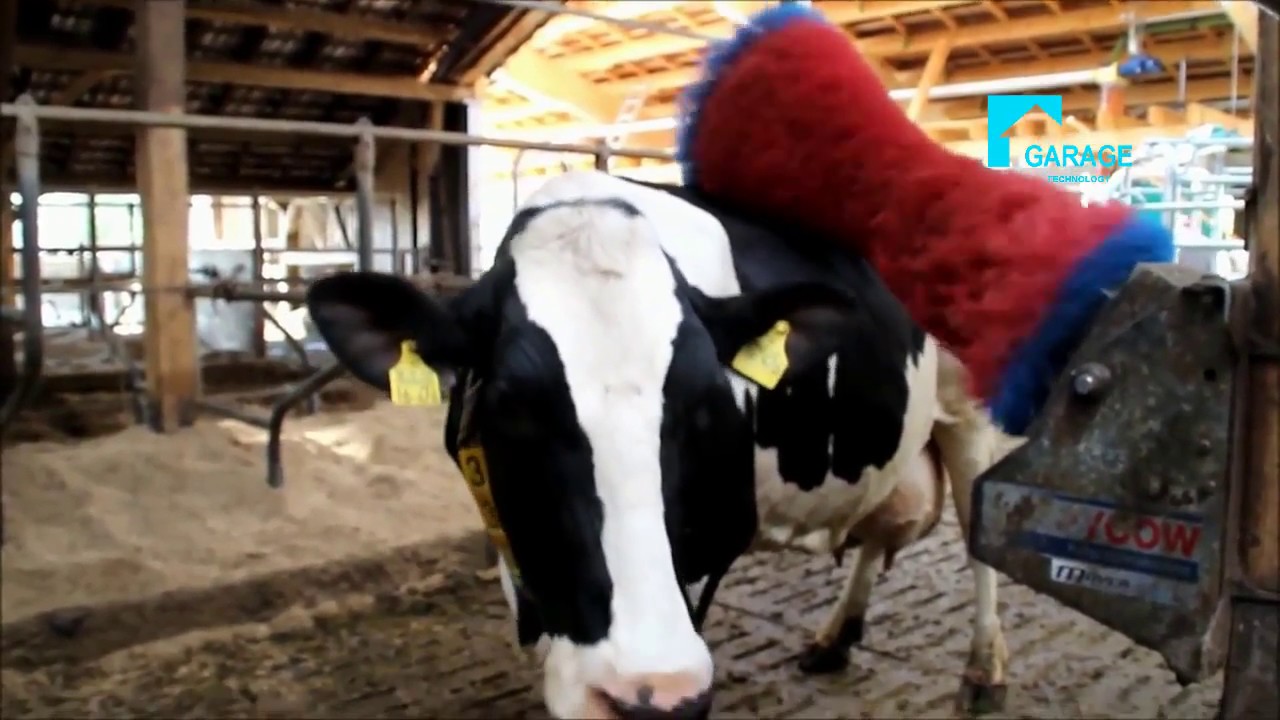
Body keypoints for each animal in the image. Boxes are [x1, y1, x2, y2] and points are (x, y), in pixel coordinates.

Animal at [306, 170, 1014, 719]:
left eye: (709, 407)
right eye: (512, 409)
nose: (649, 691)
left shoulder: (716, 539)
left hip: (975, 414)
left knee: (978, 537)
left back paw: (984, 671)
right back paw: (834, 638)